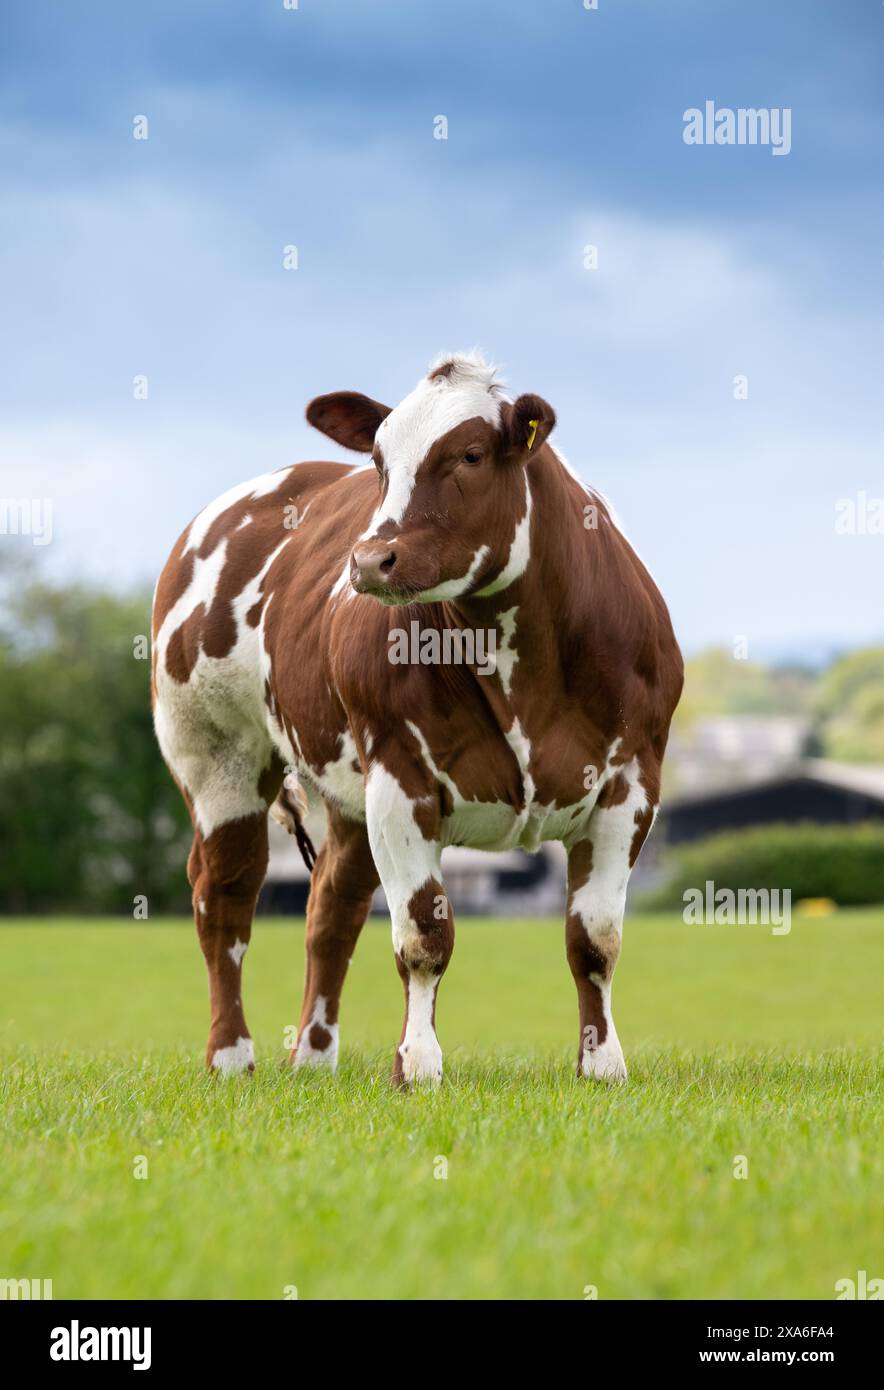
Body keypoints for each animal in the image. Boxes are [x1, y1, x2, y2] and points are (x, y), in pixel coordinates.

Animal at [151, 352, 683, 1086]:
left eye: (471, 454)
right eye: (378, 460)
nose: (372, 560)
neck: (527, 673)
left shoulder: (631, 782)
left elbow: (595, 939)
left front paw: (601, 1064)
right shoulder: (399, 778)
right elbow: (424, 936)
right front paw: (419, 1066)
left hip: (343, 793)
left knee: (332, 908)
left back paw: (313, 1056)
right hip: (215, 757)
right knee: (224, 900)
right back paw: (232, 1055)